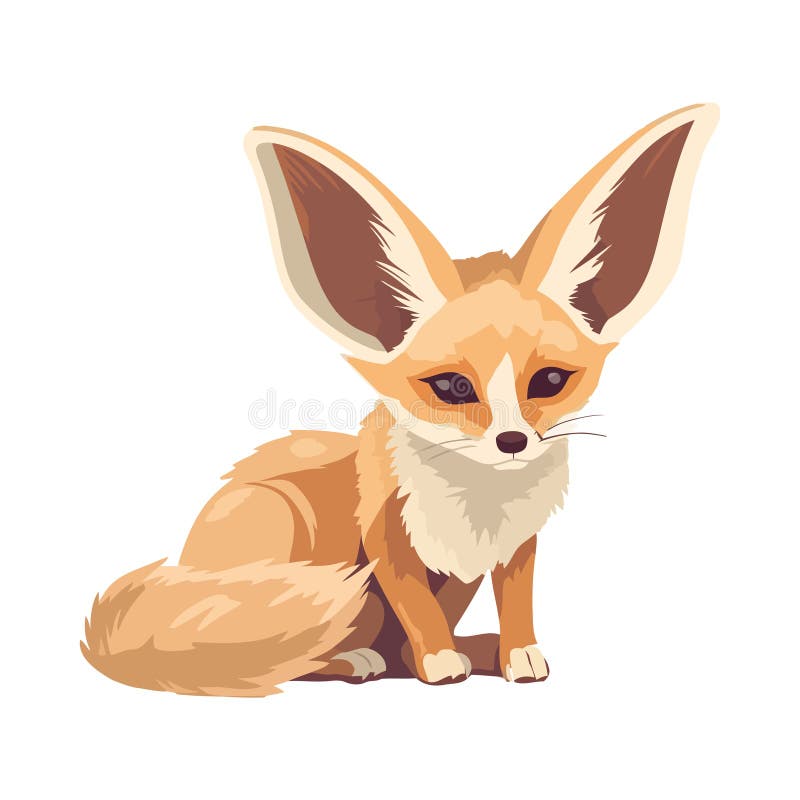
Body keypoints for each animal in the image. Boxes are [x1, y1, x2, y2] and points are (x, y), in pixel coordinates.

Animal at [82, 104, 718, 695]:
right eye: (454, 387)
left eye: (550, 381)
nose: (513, 441)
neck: (479, 506)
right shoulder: (387, 542)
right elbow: (417, 609)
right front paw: (439, 662)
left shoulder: (511, 549)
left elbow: (513, 604)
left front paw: (511, 654)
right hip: (281, 528)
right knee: (282, 648)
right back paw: (353, 660)